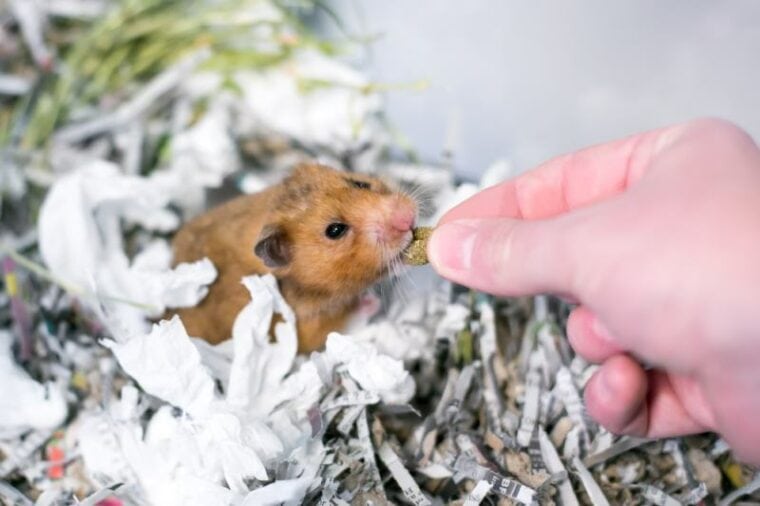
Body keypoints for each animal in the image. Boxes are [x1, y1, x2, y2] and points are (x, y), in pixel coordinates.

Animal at [170, 163, 417, 353]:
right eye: (335, 230)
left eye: (359, 183)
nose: (407, 218)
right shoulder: (311, 329)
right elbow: (346, 320)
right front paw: (371, 301)